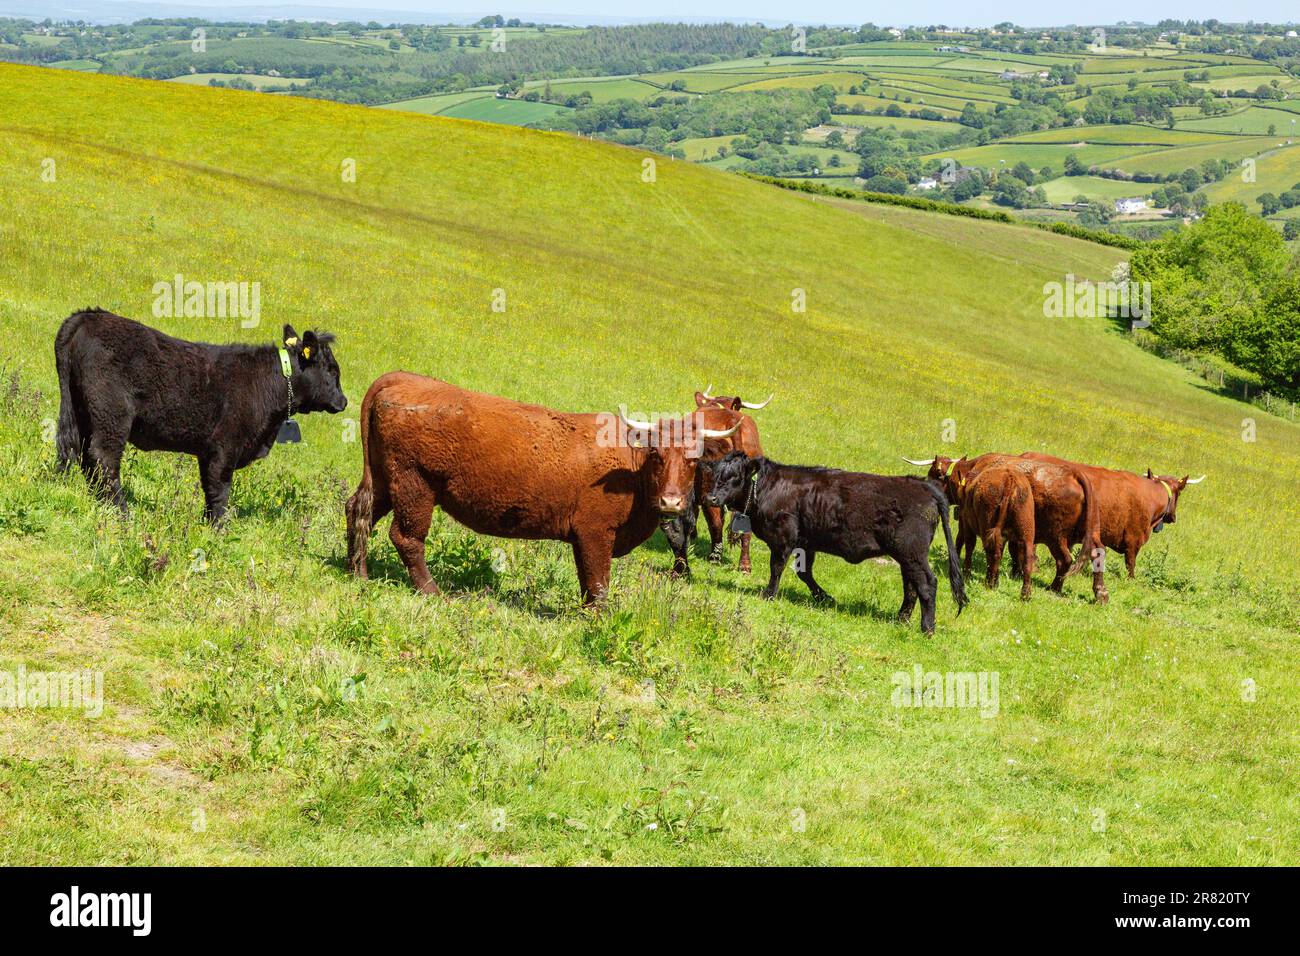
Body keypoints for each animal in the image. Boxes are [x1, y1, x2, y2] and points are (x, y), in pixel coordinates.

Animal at [54, 309, 346, 522]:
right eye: (332, 370)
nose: (343, 401)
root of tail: (88, 315)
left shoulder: (208, 451)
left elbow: (209, 487)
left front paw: (206, 524)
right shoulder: (225, 447)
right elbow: (220, 489)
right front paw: (219, 528)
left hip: (80, 411)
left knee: (77, 451)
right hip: (111, 415)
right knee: (103, 458)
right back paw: (122, 513)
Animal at [344, 372, 741, 604]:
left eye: (694, 459)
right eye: (656, 454)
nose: (672, 501)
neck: (630, 468)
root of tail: (401, 379)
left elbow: (587, 580)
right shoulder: (596, 533)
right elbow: (598, 580)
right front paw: (600, 618)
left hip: (384, 481)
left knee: (358, 512)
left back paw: (357, 573)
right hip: (414, 485)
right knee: (406, 537)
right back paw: (432, 591)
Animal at [702, 451, 967, 634]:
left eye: (735, 477)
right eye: (715, 476)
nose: (711, 498)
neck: (767, 488)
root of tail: (923, 485)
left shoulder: (783, 538)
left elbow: (776, 568)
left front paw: (768, 594)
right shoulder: (806, 542)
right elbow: (804, 573)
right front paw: (824, 597)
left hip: (913, 553)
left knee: (927, 584)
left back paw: (927, 628)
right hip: (906, 557)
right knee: (911, 586)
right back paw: (901, 619)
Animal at [904, 454, 1109, 603]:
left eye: (932, 474)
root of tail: (1073, 473)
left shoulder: (966, 519)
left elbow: (964, 542)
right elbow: (1014, 551)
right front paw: (1015, 573)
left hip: (1055, 537)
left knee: (1064, 559)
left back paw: (1054, 587)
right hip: (1087, 533)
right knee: (1096, 552)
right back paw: (1099, 593)